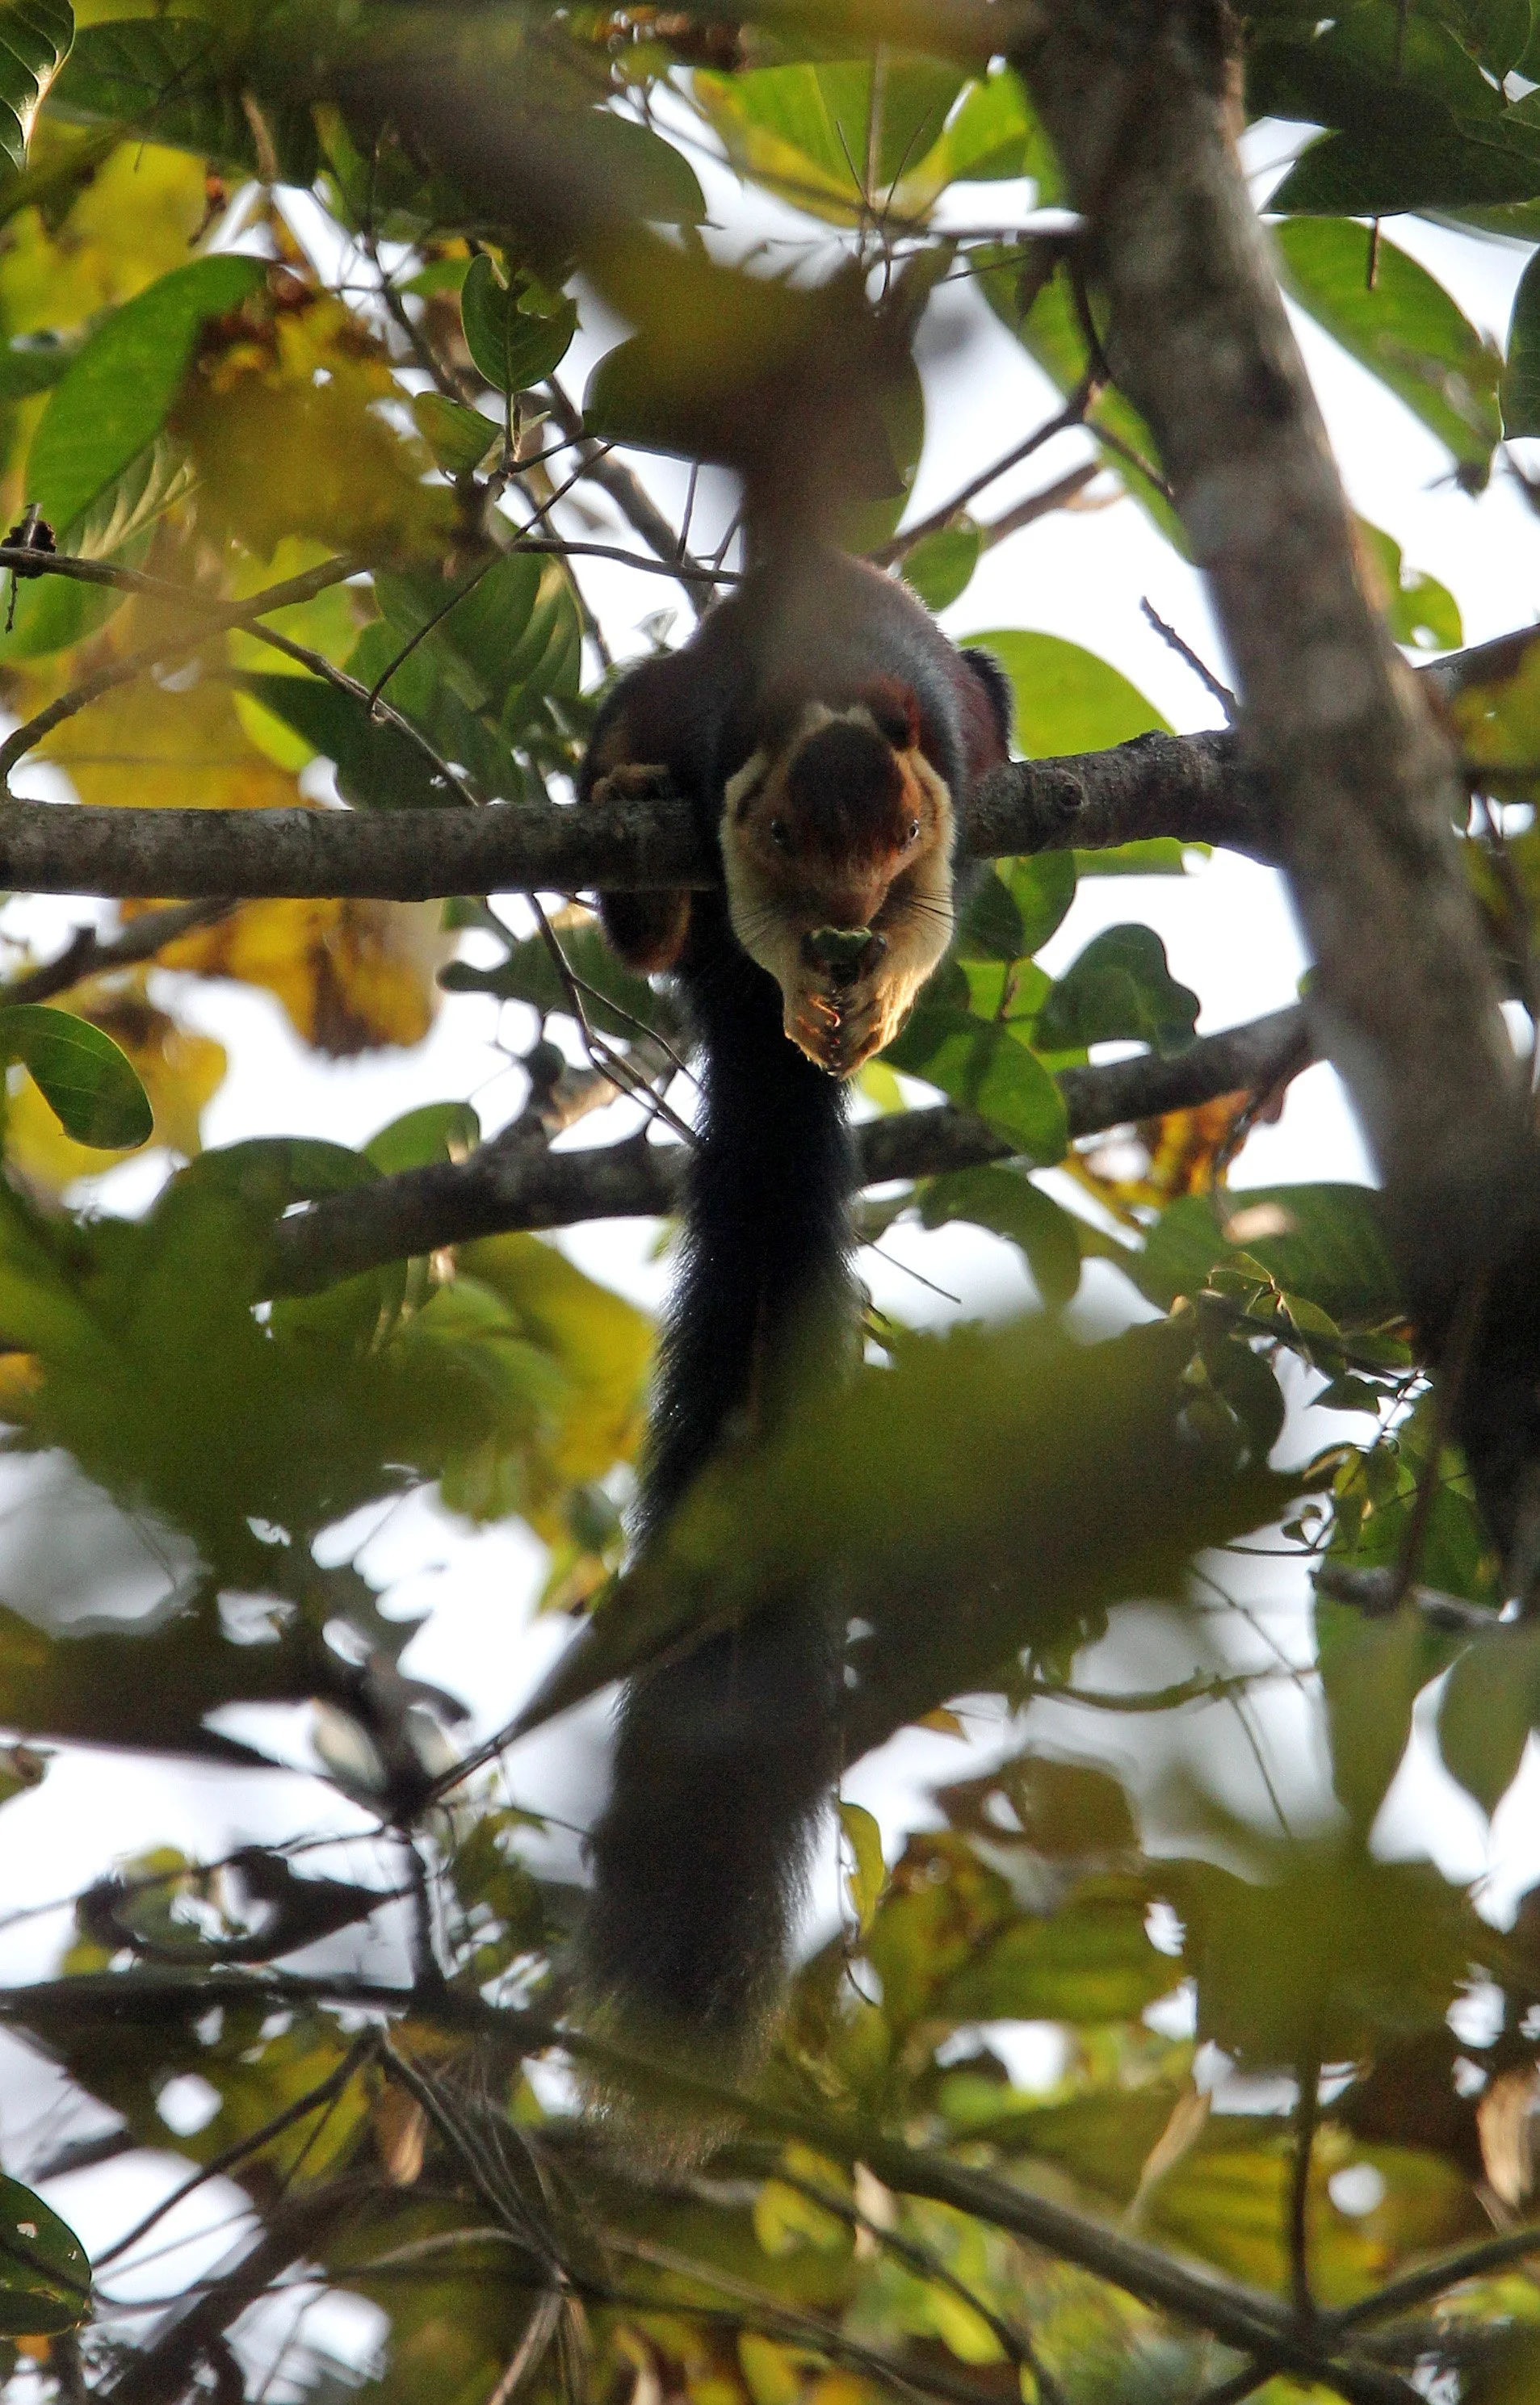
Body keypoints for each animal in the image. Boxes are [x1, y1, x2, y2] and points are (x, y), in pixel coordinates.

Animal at [574, 544, 1011, 2099]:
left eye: (892, 839)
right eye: (780, 832)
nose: (843, 921)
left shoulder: (950, 785)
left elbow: (941, 908)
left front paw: (873, 996)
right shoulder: (723, 780)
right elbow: (740, 912)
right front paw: (794, 976)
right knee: (650, 856)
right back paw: (631, 862)